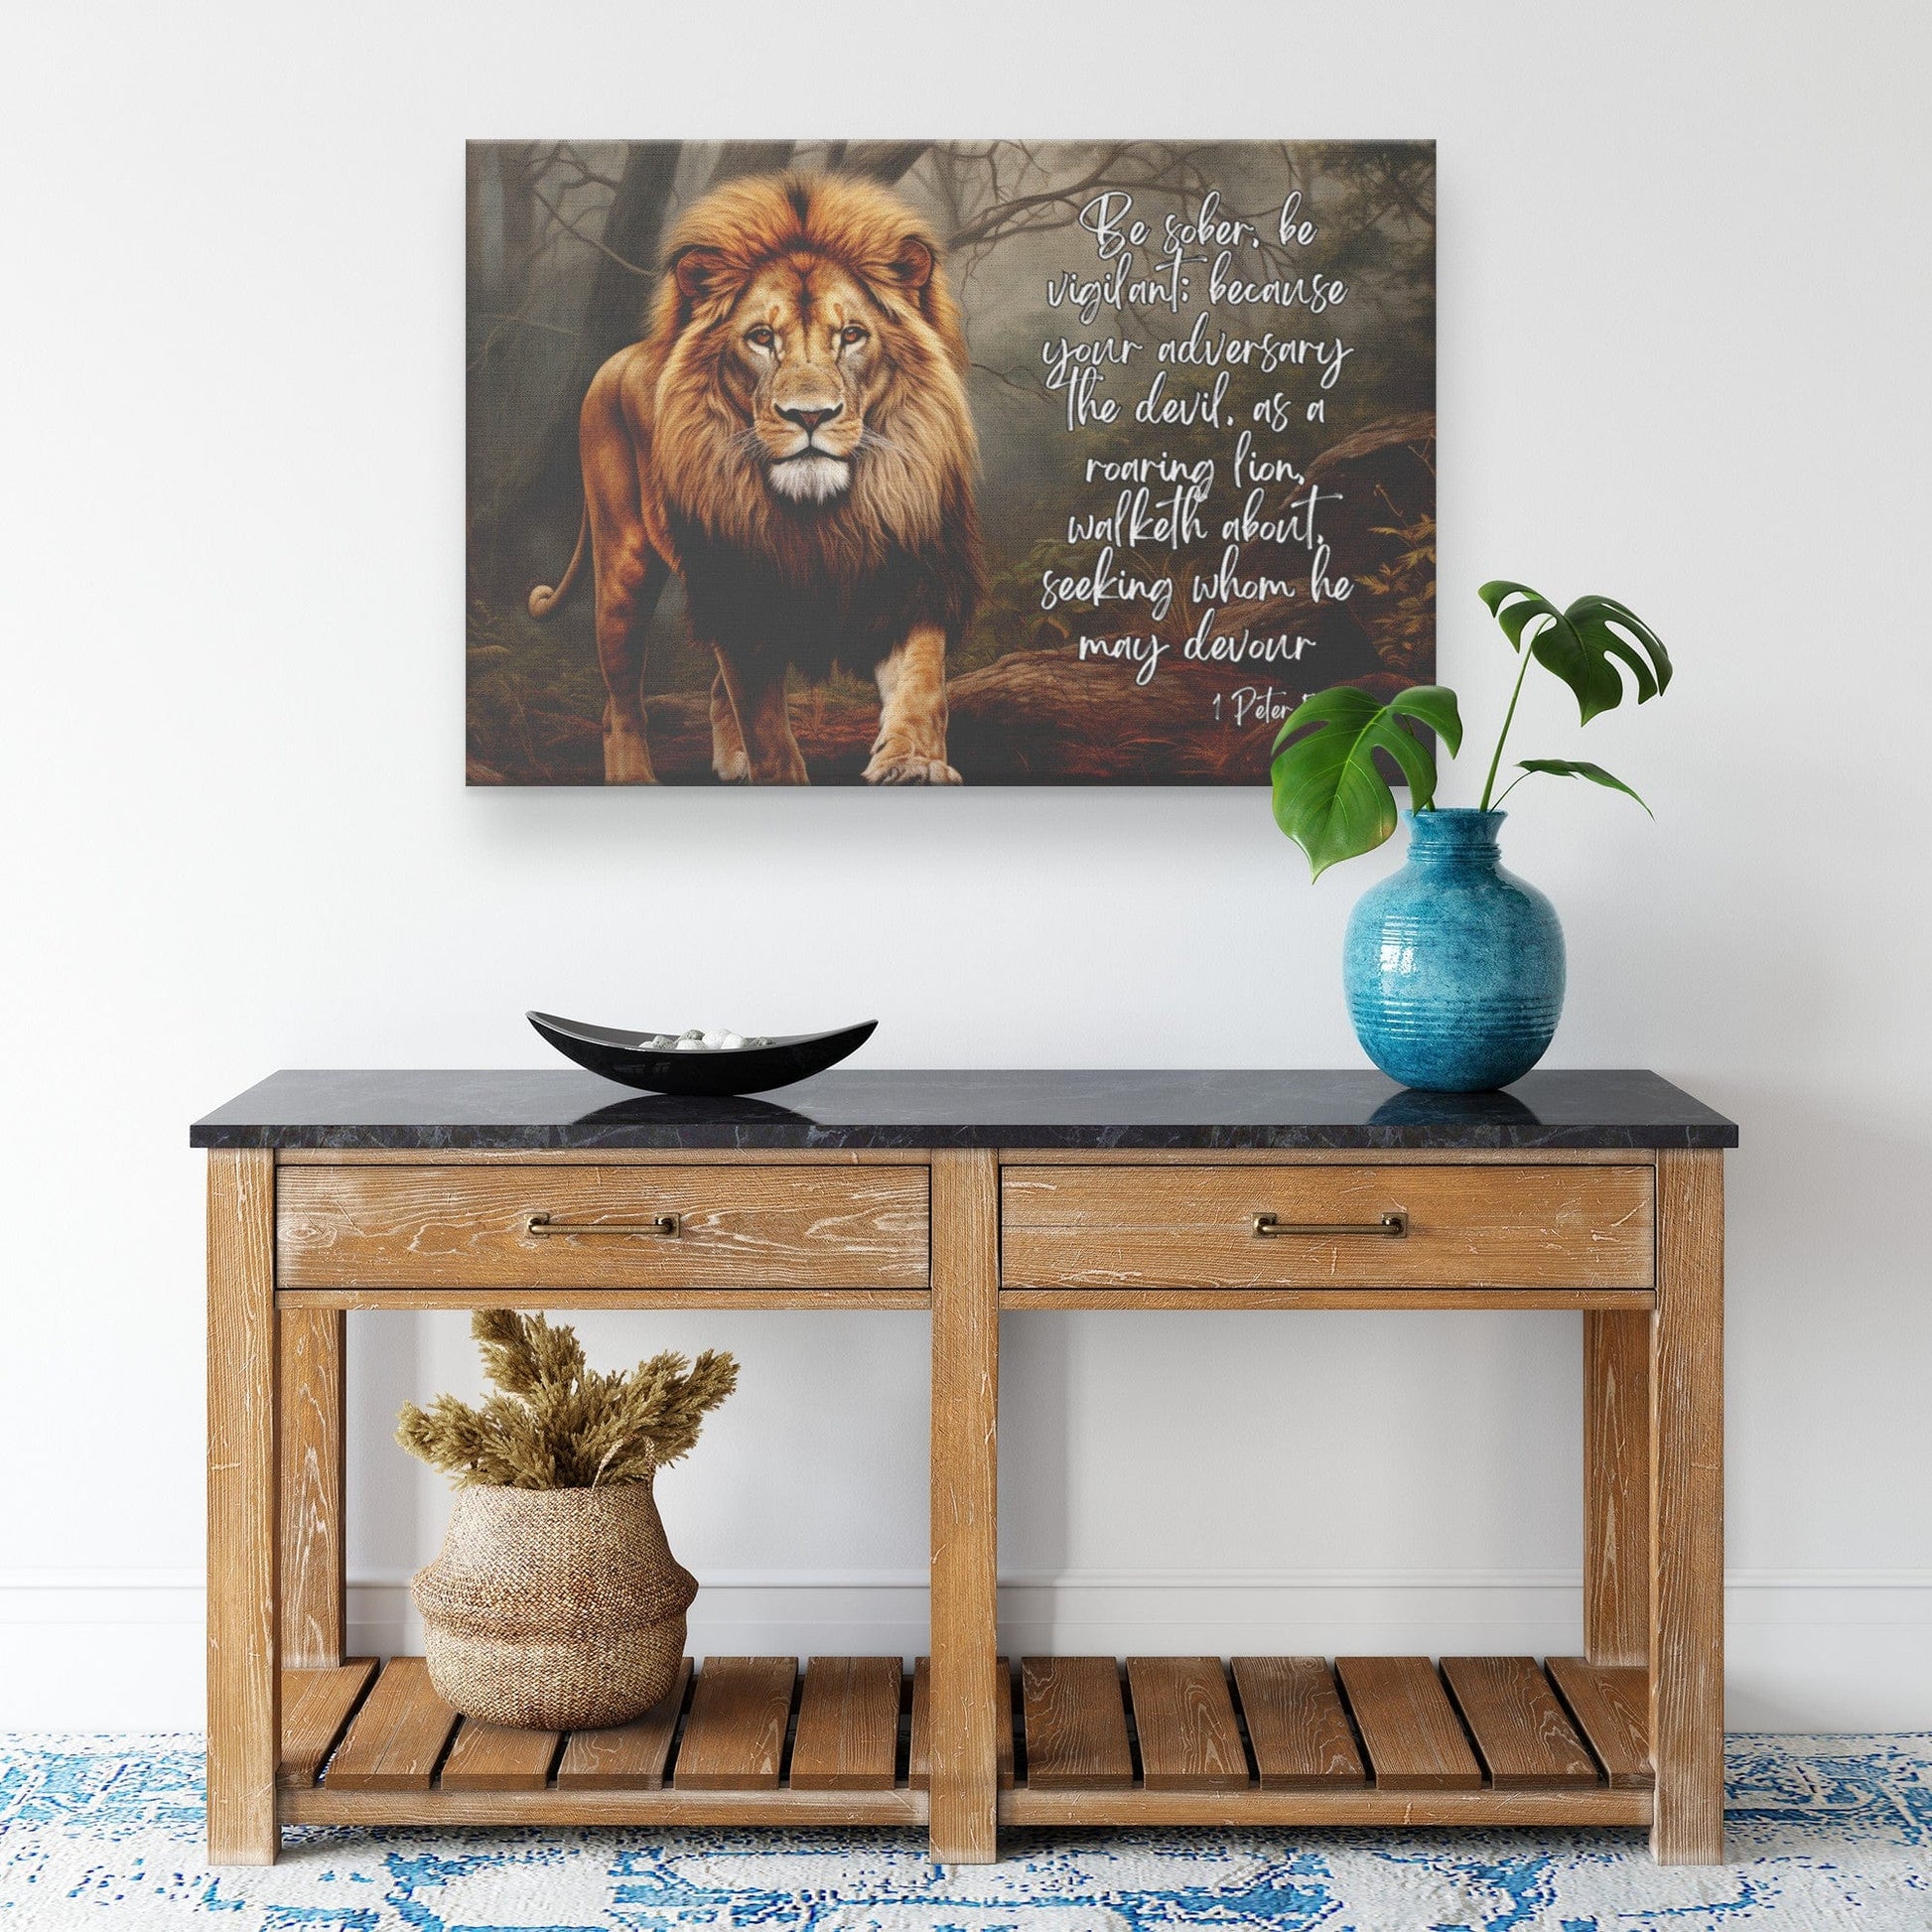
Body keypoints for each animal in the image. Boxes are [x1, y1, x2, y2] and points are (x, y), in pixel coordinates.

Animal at [528, 170, 983, 785]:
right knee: (620, 699)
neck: (820, 513)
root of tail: (618, 359)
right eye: (762, 337)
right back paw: (633, 776)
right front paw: (782, 774)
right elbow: (765, 723)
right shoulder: (739, 591)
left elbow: (921, 683)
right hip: (624, 567)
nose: (810, 416)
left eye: (852, 335)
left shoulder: (909, 569)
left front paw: (912, 763)